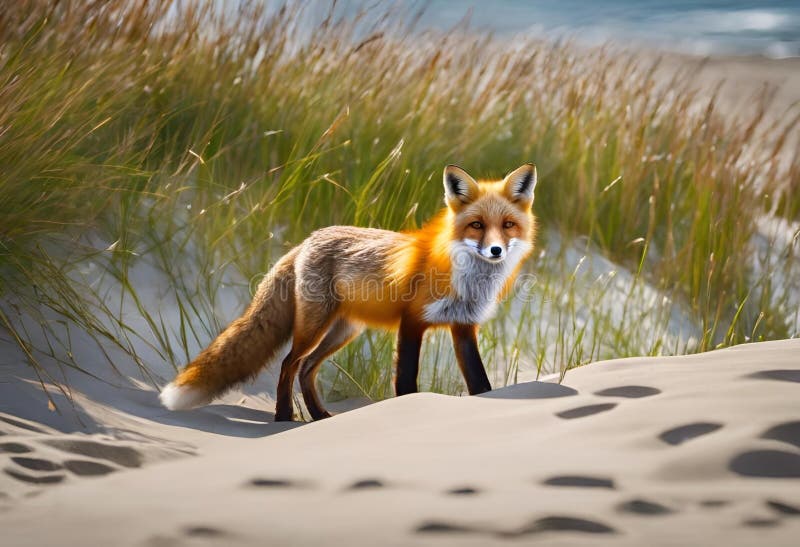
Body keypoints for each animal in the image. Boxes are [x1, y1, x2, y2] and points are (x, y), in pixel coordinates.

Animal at [160, 163, 537, 421]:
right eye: (476, 225)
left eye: (507, 225)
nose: (495, 251)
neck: (467, 280)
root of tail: (306, 240)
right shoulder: (412, 322)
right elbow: (406, 382)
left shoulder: (463, 326)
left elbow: (480, 383)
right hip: (314, 326)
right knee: (288, 364)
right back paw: (284, 418)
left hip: (344, 330)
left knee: (306, 369)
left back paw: (318, 417)